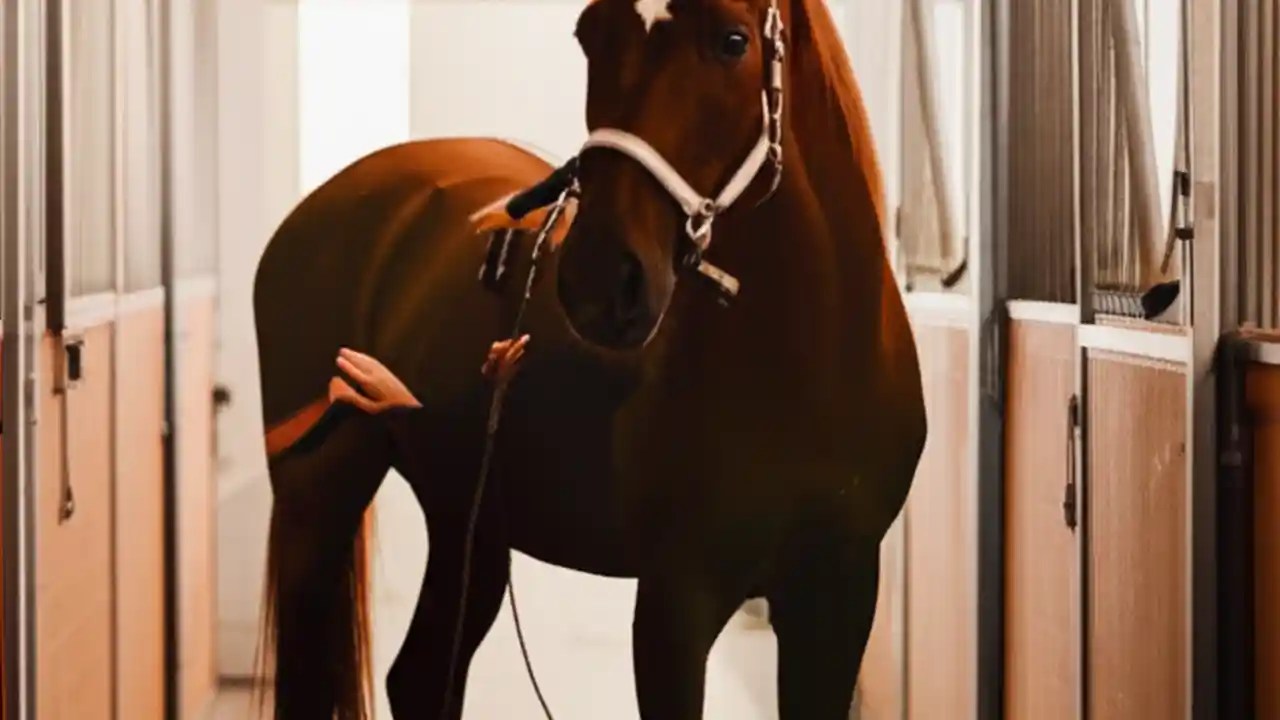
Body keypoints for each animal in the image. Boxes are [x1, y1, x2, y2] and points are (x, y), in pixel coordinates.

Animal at [252, 0, 927, 718]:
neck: (801, 376)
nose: (601, 280)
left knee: (424, 675)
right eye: (588, 34)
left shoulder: (838, 596)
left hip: (468, 516)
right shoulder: (674, 602)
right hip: (319, 496)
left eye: (733, 41)